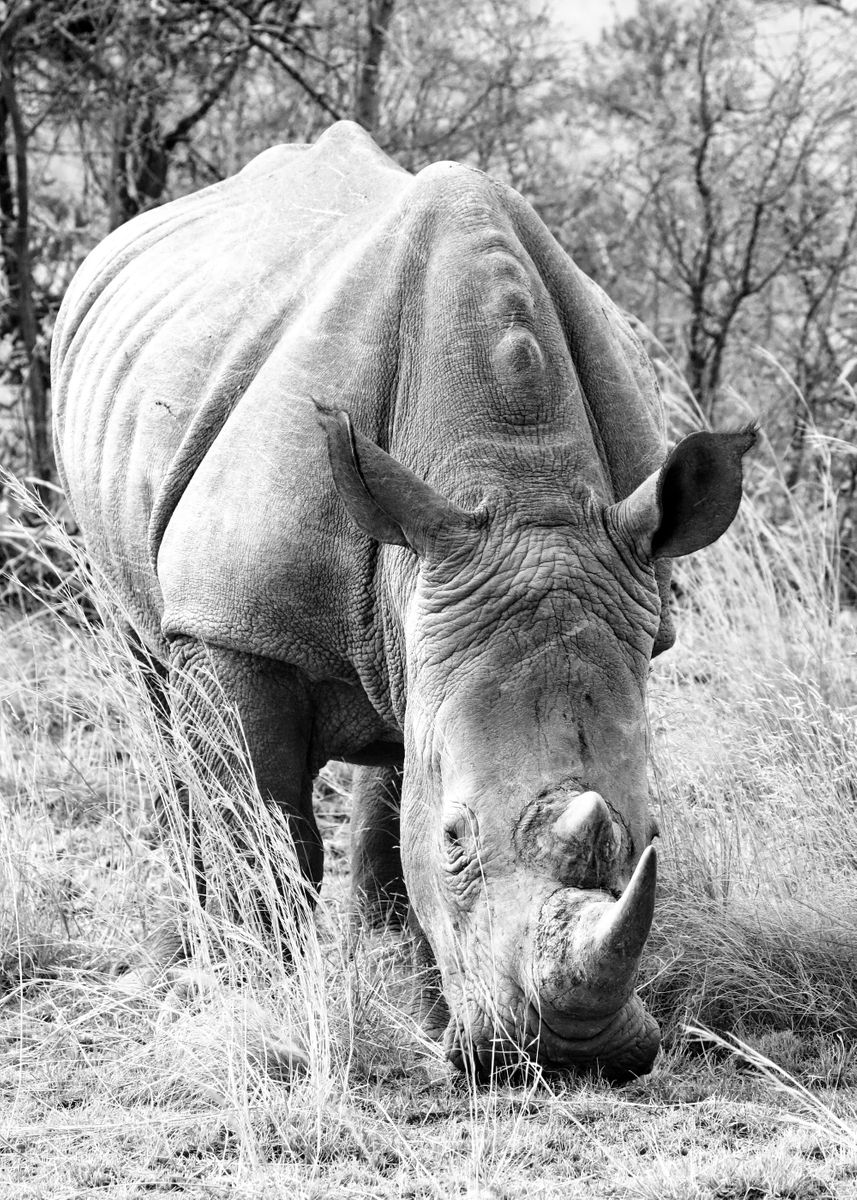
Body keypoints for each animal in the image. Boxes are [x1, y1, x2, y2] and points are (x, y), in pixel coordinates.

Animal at [52, 121, 754, 1081]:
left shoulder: (440, 595)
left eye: (652, 834)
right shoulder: (236, 628)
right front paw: (254, 1009)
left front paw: (419, 1012)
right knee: (147, 673)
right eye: (456, 837)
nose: (569, 1056)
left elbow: (391, 832)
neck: (519, 481)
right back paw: (184, 954)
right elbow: (265, 834)